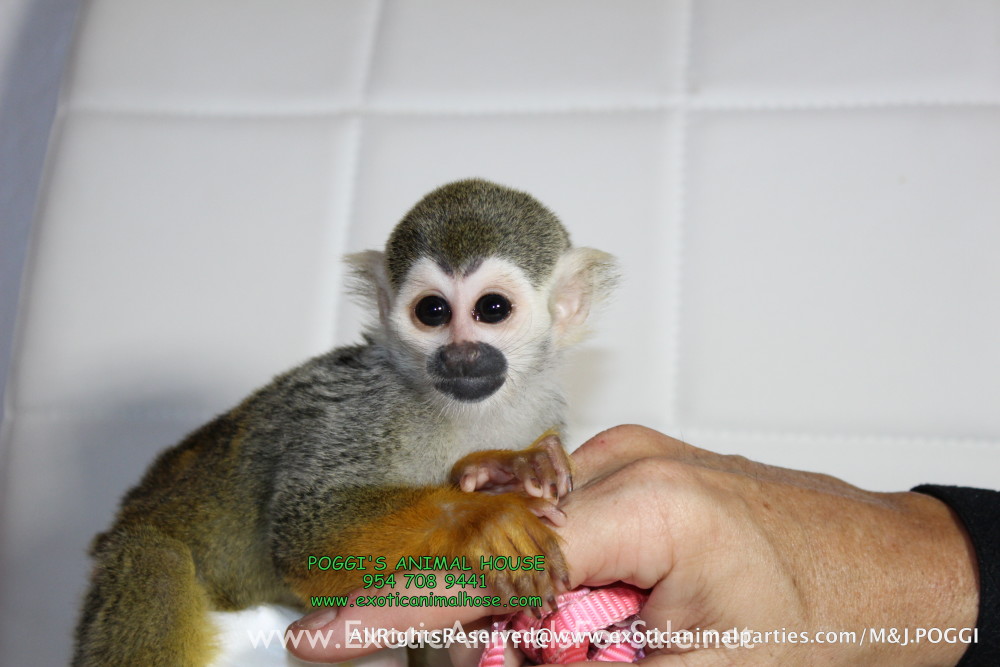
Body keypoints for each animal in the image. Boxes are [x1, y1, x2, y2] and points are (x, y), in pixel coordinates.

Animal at [72, 178, 618, 666]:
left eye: (492, 308)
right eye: (433, 310)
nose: (460, 354)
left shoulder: (544, 409)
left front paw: (504, 466)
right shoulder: (363, 407)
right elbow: (306, 540)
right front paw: (480, 517)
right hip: (133, 554)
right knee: (155, 569)